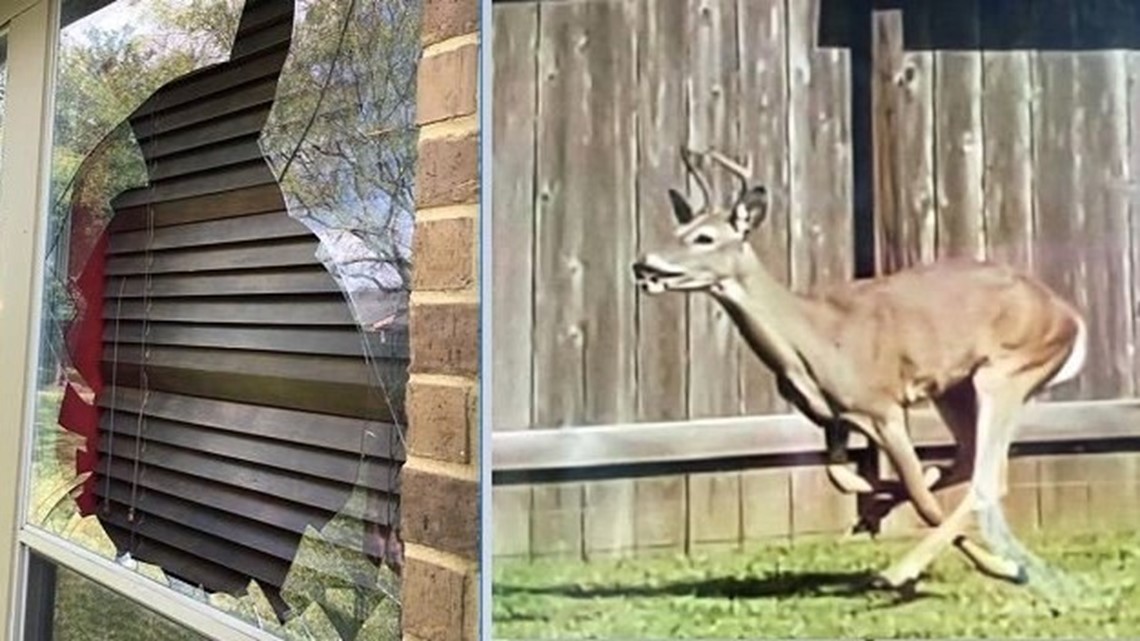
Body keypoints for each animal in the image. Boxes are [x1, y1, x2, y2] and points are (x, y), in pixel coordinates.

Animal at [631, 147, 1088, 590]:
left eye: (704, 237)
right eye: (677, 230)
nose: (642, 264)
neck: (813, 340)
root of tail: (1070, 318)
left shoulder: (882, 407)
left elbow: (921, 499)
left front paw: (993, 565)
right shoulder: (832, 417)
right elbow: (843, 476)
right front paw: (873, 509)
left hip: (1008, 371)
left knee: (988, 479)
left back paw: (918, 568)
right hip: (954, 388)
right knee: (967, 459)